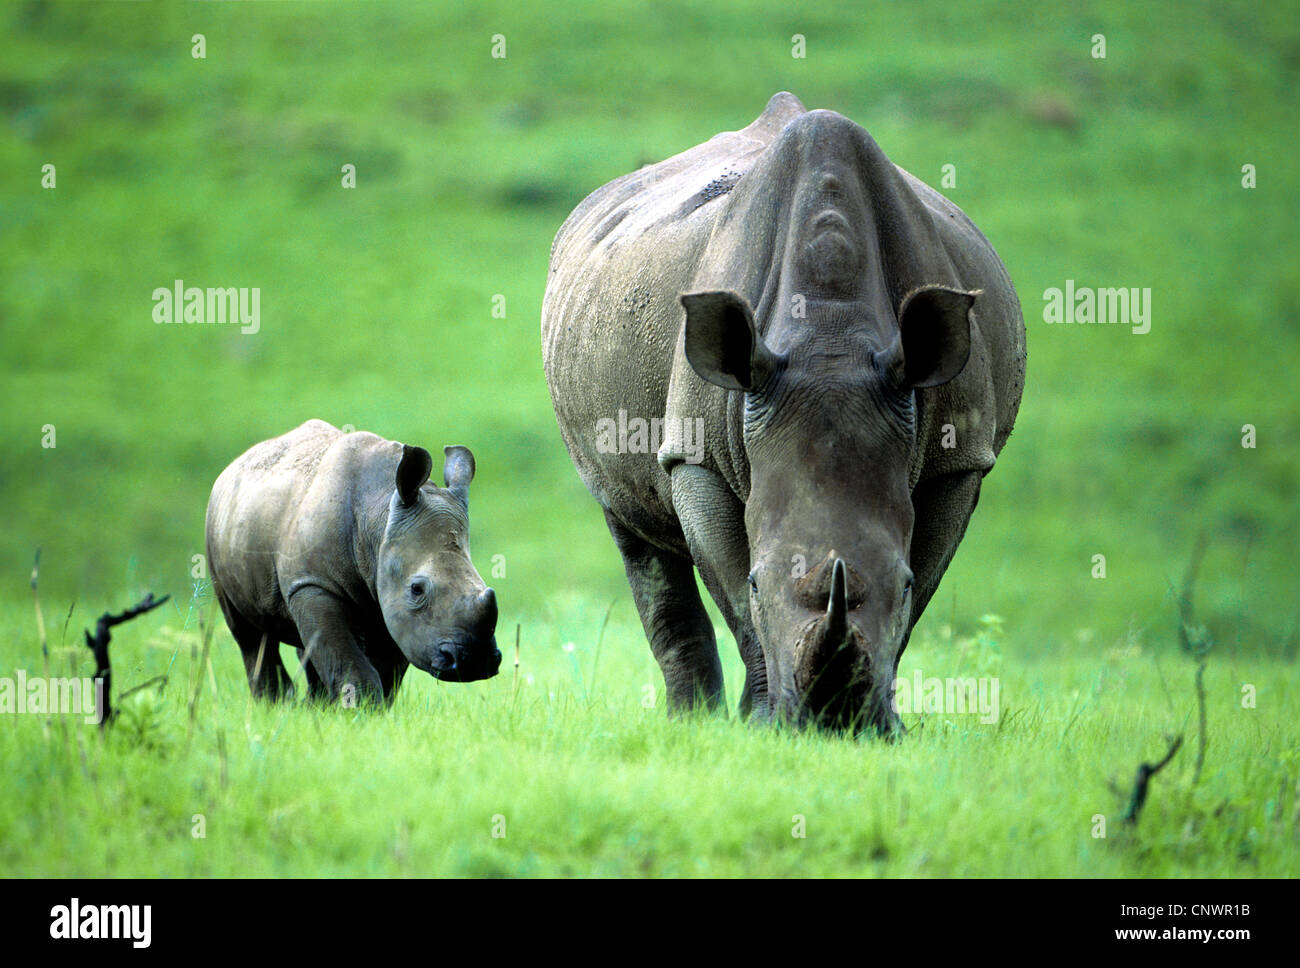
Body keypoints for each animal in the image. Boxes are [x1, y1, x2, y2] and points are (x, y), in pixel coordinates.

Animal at [205, 419, 500, 703]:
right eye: (417, 590)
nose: (474, 662)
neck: (379, 519)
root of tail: (234, 464)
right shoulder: (314, 584)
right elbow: (348, 661)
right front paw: (360, 709)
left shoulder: (388, 595)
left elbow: (385, 671)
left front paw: (368, 712)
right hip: (217, 526)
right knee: (249, 634)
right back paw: (274, 706)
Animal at [542, 93, 1025, 734]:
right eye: (755, 582)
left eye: (901, 583)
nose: (833, 725)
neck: (829, 332)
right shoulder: (696, 454)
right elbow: (737, 603)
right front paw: (761, 722)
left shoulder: (959, 457)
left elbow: (919, 594)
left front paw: (890, 727)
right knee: (632, 526)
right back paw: (689, 723)